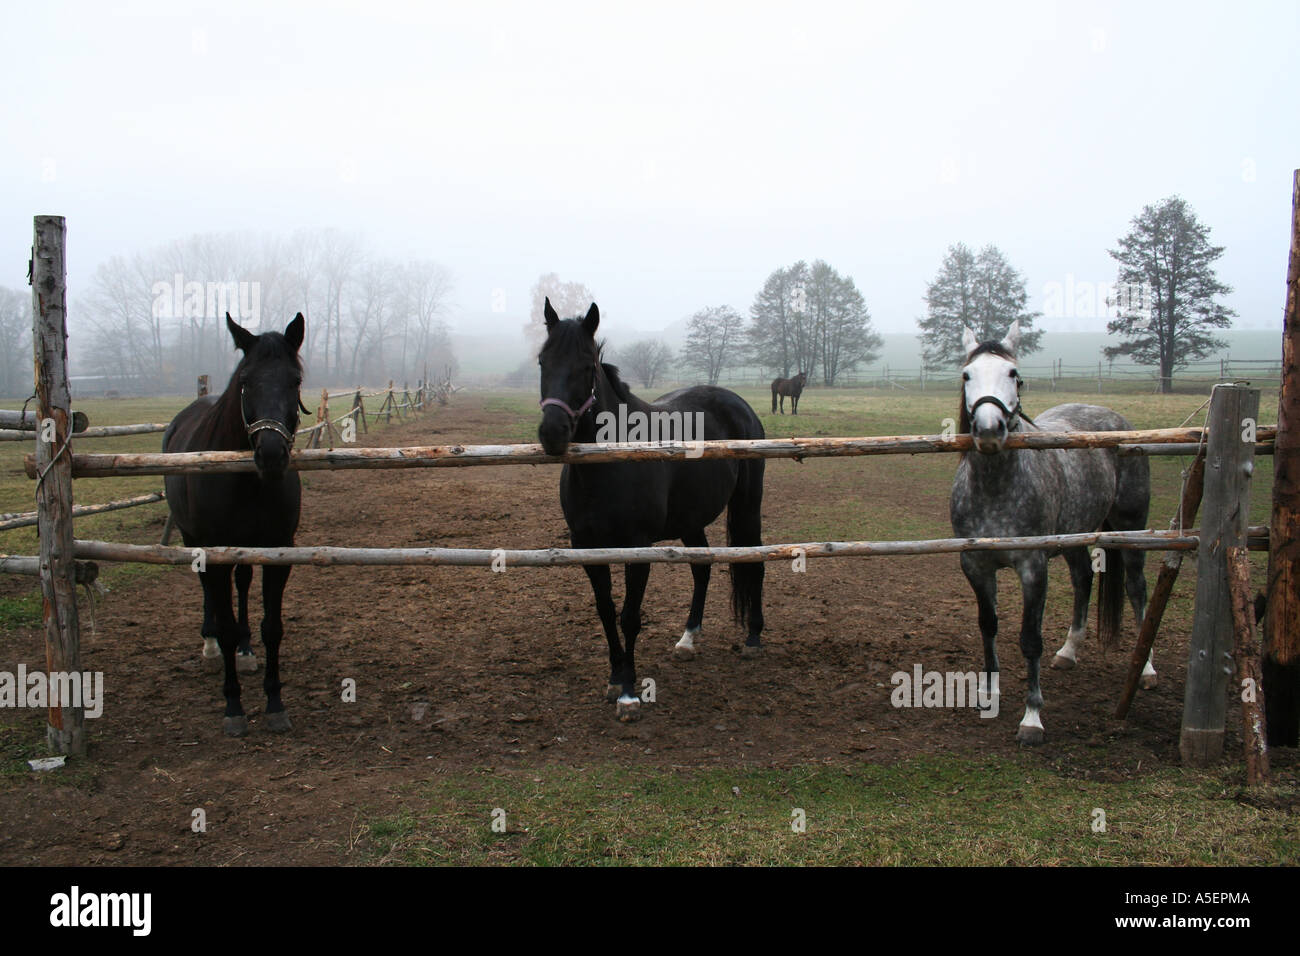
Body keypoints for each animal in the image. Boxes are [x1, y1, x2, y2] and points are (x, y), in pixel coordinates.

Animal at [163, 313, 305, 736]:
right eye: (245, 381)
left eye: (295, 381)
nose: (271, 455)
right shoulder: (215, 552)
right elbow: (224, 623)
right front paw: (234, 707)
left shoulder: (279, 549)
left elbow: (272, 627)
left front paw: (274, 703)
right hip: (194, 538)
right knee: (209, 594)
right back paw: (210, 645)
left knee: (242, 584)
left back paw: (244, 650)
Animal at [537, 298, 766, 721]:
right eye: (543, 361)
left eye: (587, 366)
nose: (553, 433)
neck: (608, 464)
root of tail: (737, 402)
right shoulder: (586, 548)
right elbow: (606, 610)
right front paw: (614, 679)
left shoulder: (637, 547)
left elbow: (630, 616)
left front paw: (629, 694)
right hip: (690, 520)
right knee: (702, 568)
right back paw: (688, 640)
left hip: (747, 504)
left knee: (754, 560)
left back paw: (754, 638)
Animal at [949, 320, 1155, 745]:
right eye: (966, 375)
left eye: (1014, 374)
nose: (989, 430)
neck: (995, 489)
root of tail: (1111, 416)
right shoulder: (975, 565)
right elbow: (988, 626)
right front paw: (988, 693)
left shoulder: (1033, 567)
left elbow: (1030, 639)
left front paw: (1032, 717)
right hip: (1075, 536)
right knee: (1083, 579)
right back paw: (1069, 652)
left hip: (1130, 527)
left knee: (1137, 589)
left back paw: (1146, 670)